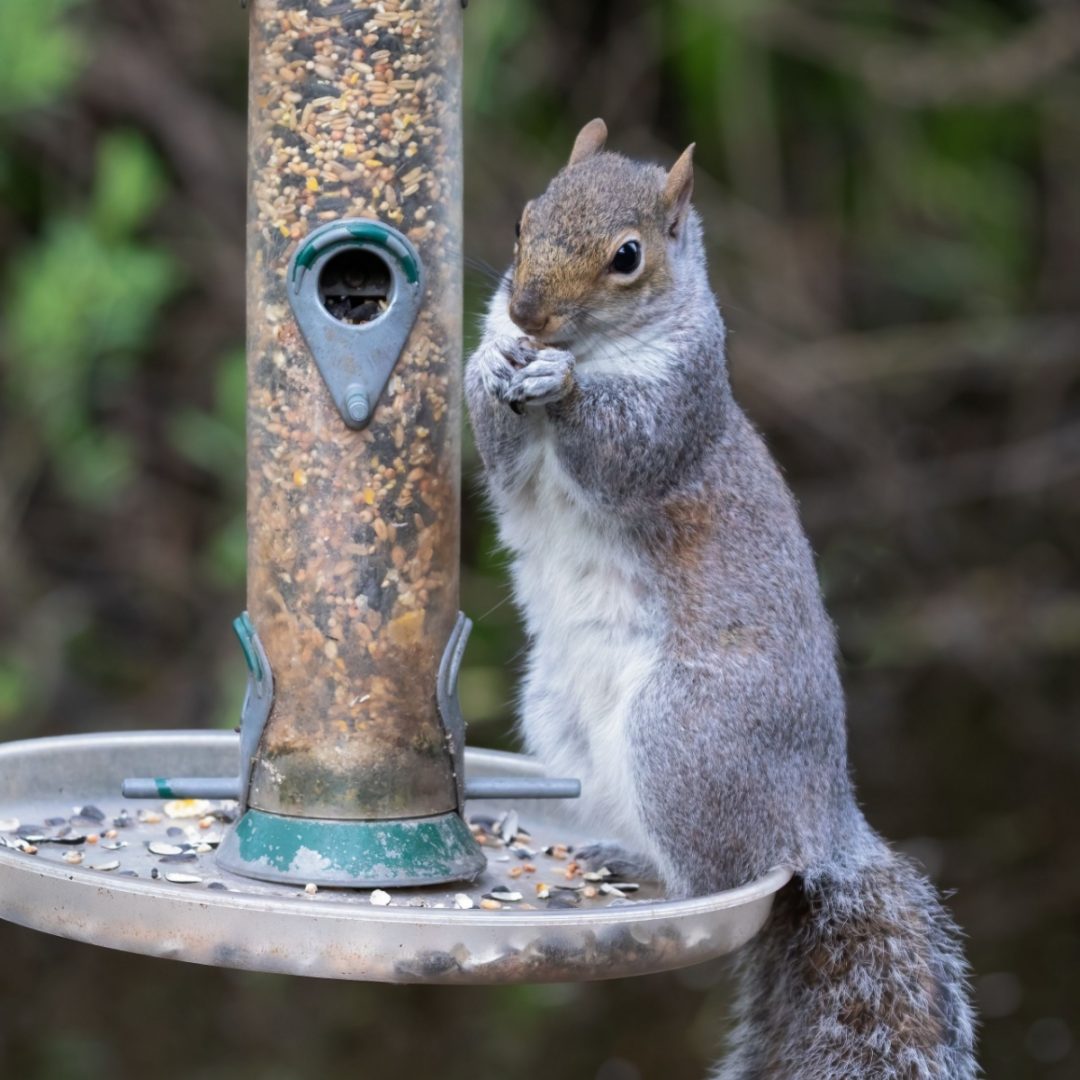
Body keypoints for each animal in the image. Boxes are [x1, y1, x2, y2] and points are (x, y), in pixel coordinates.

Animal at [465, 118, 977, 1079]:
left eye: (628, 257)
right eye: (522, 221)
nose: (527, 315)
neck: (592, 347)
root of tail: (821, 821)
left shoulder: (679, 406)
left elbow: (624, 451)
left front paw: (559, 386)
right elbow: (501, 455)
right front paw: (491, 362)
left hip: (686, 736)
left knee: (712, 878)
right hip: (561, 719)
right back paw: (599, 844)